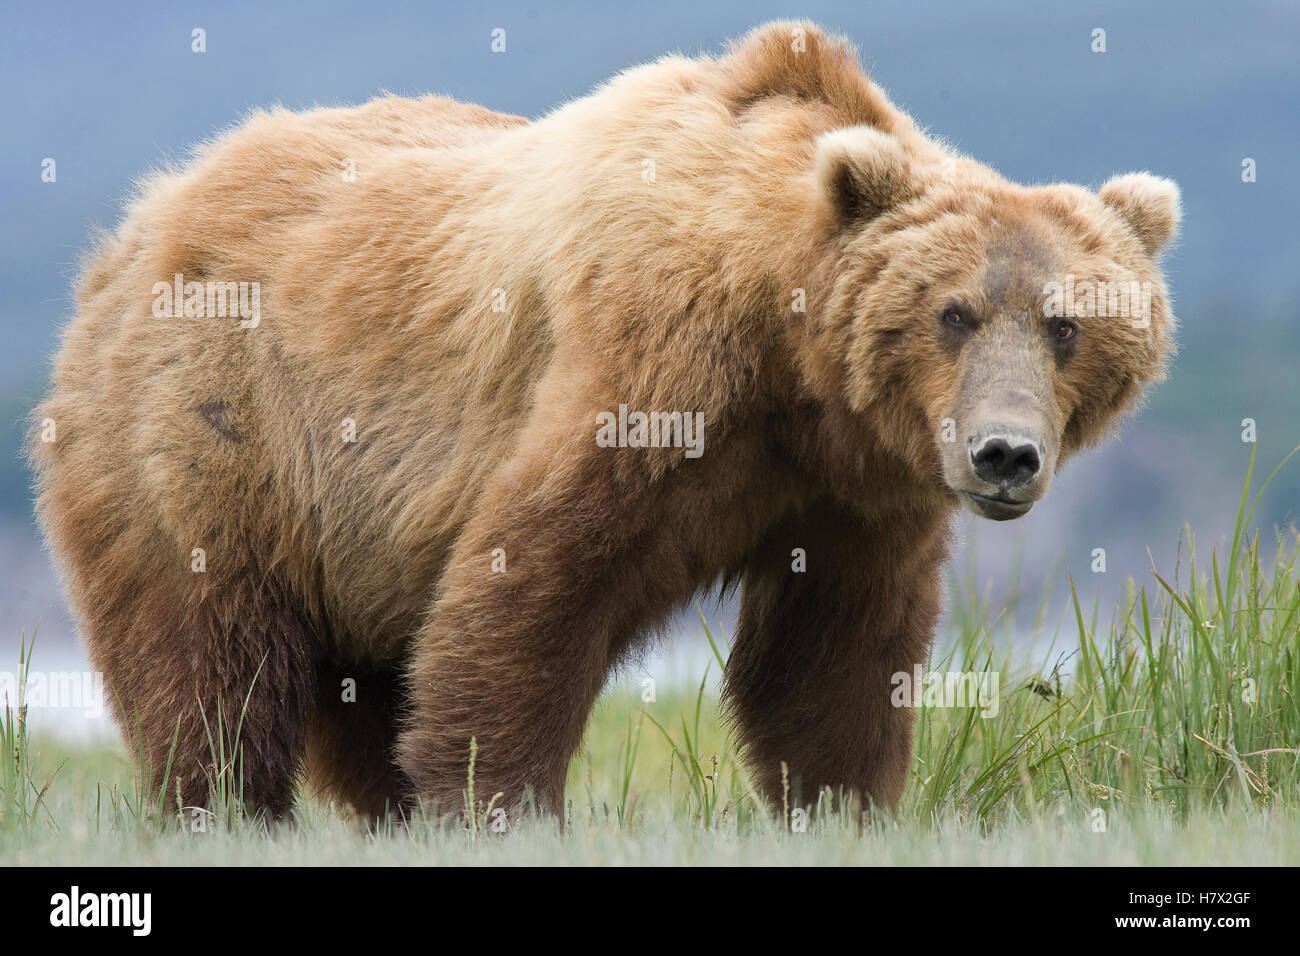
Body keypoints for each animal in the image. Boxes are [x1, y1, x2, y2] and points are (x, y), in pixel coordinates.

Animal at [30, 21, 1179, 824]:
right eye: (954, 312)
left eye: (1066, 324)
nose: (1003, 453)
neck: (787, 357)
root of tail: (135, 221)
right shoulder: (647, 371)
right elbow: (530, 586)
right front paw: (496, 801)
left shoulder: (858, 489)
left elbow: (833, 657)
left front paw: (843, 802)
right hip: (217, 428)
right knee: (211, 658)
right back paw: (223, 804)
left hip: (349, 536)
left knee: (360, 692)